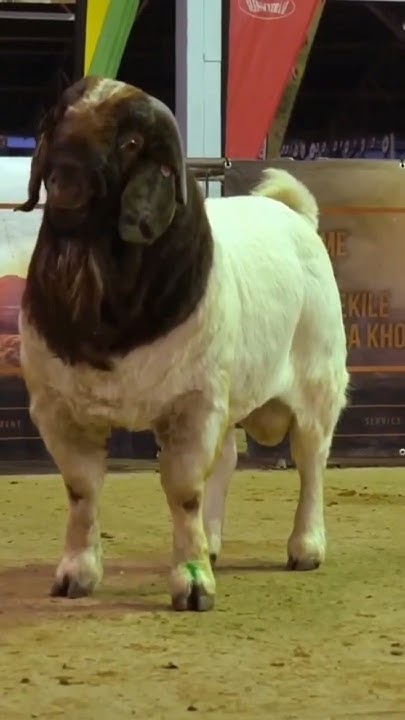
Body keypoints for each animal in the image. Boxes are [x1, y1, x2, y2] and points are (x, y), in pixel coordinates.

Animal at [16, 76, 349, 611]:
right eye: (61, 118)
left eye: (130, 142)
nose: (63, 171)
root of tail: (291, 211)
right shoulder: (59, 410)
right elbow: (82, 490)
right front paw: (77, 574)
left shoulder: (193, 407)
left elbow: (183, 490)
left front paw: (192, 583)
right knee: (230, 459)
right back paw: (212, 542)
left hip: (319, 388)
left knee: (311, 464)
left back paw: (306, 546)